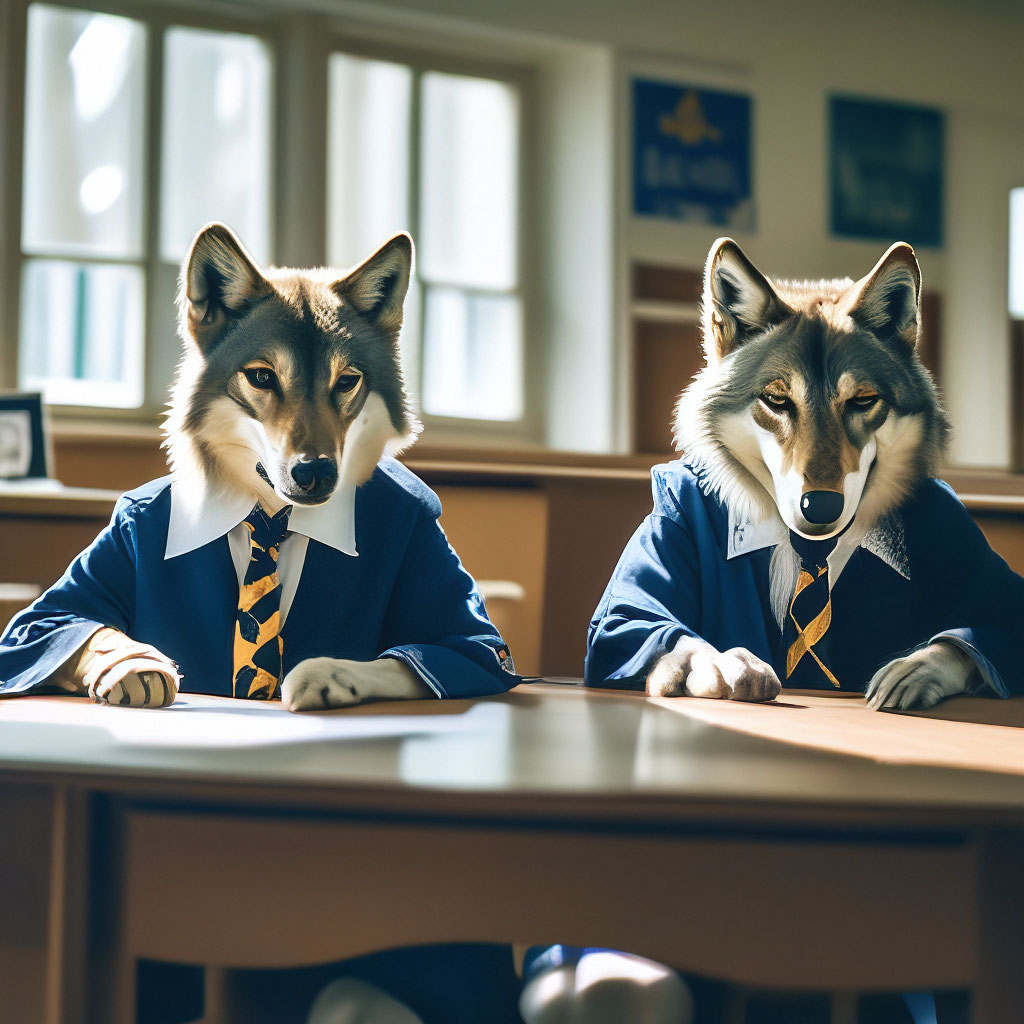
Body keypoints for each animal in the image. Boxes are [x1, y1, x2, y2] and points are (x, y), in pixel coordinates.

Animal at [585, 237, 1024, 711]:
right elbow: (636, 617)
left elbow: (977, 633)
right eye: (777, 400)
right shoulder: (665, 526)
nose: (821, 505)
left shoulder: (956, 530)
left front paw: (915, 667)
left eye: (861, 400)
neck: (812, 552)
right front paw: (715, 663)